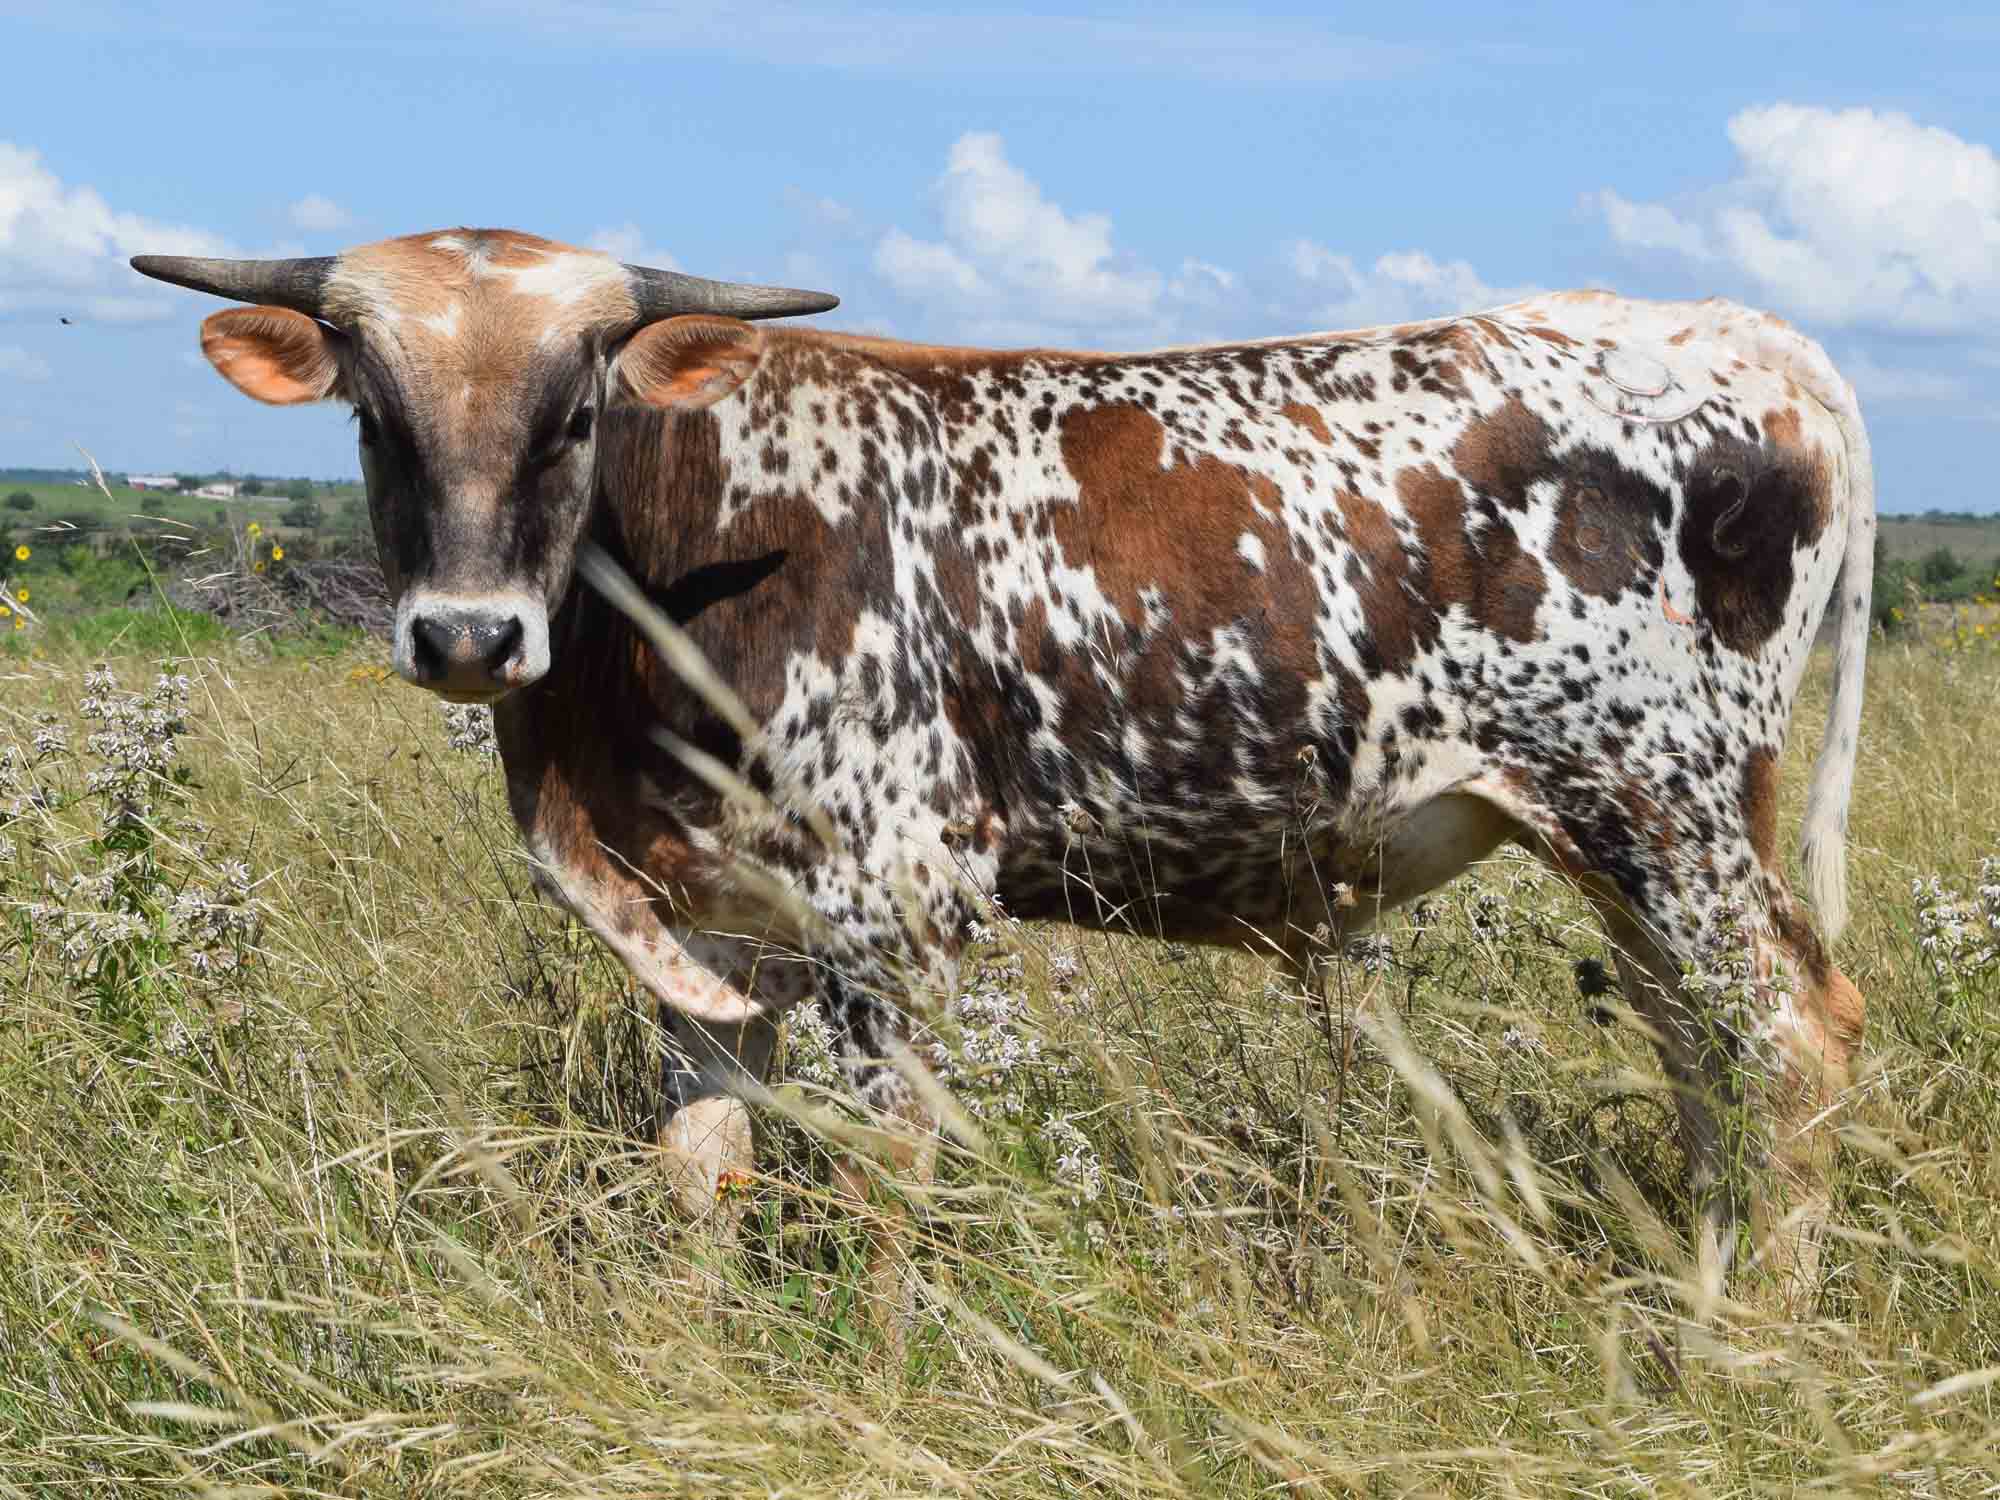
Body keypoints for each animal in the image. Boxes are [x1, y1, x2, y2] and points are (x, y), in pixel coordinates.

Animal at [134, 229, 1873, 1295]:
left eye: (575, 410)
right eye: (376, 413)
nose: (469, 638)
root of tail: (1742, 338)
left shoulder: (894, 907)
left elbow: (883, 1173)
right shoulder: (699, 918)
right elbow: (702, 1163)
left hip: (1665, 808)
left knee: (1788, 1039)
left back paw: (1741, 1341)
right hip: (1628, 849)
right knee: (1697, 1048)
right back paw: (1700, 1275)